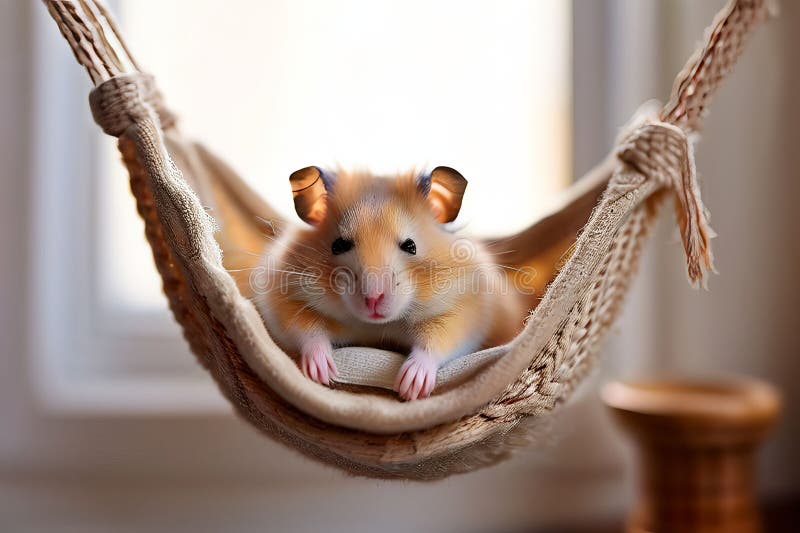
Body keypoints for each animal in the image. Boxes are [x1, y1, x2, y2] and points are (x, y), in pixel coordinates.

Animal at [254, 166, 526, 400]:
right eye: (338, 245)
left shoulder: (464, 312)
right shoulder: (285, 300)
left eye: (410, 246)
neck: (378, 326)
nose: (373, 300)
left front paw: (410, 387)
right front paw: (322, 374)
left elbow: (438, 341)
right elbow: (307, 330)